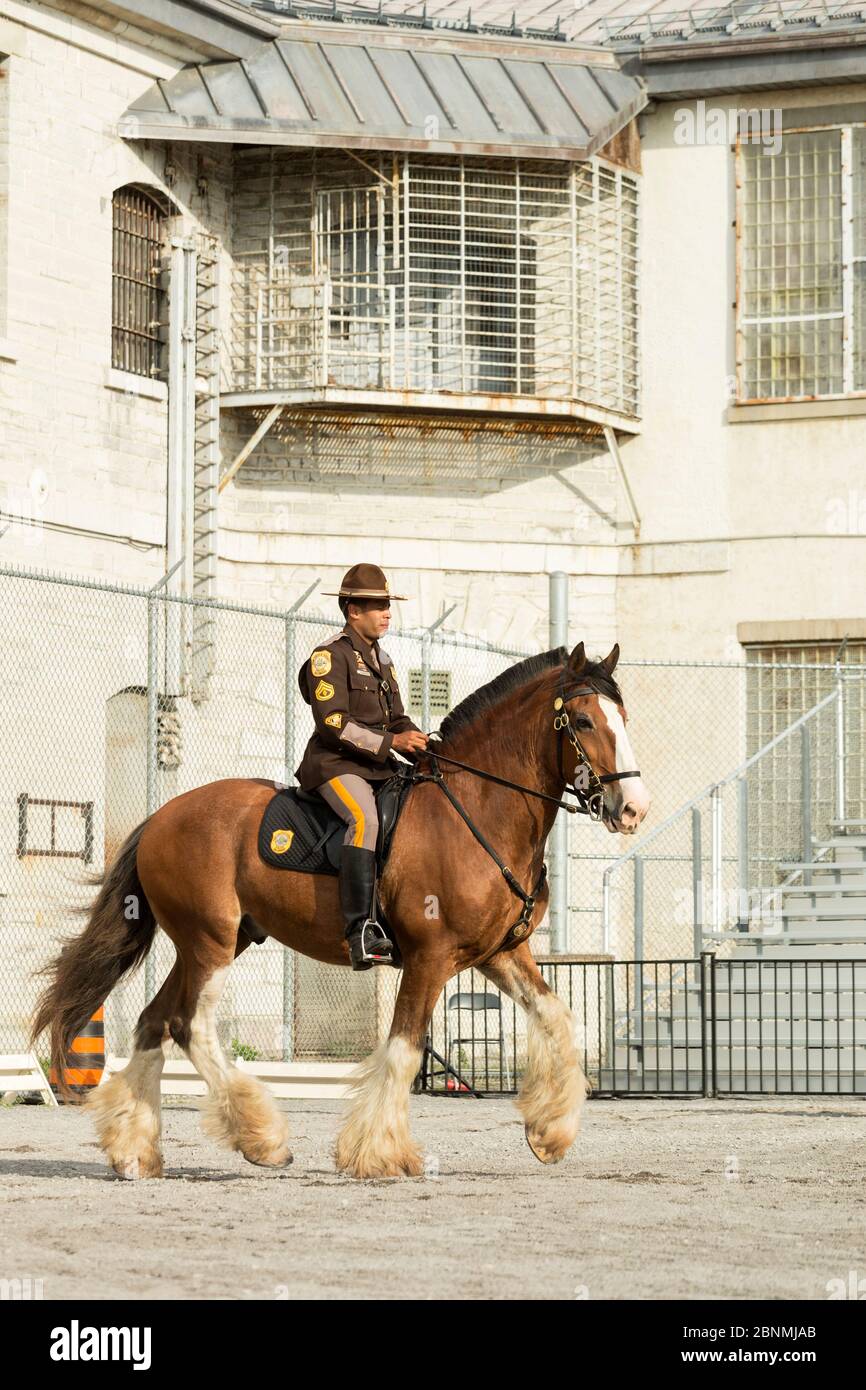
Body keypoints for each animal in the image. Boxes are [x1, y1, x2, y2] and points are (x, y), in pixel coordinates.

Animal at [32, 640, 649, 1180]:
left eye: (623, 716)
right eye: (585, 722)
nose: (633, 810)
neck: (477, 810)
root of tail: (163, 815)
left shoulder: (500, 954)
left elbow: (559, 1019)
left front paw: (549, 1132)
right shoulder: (429, 958)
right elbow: (403, 1050)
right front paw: (378, 1154)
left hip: (214, 942)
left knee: (154, 1022)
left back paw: (135, 1151)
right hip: (210, 942)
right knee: (190, 1026)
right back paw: (262, 1140)